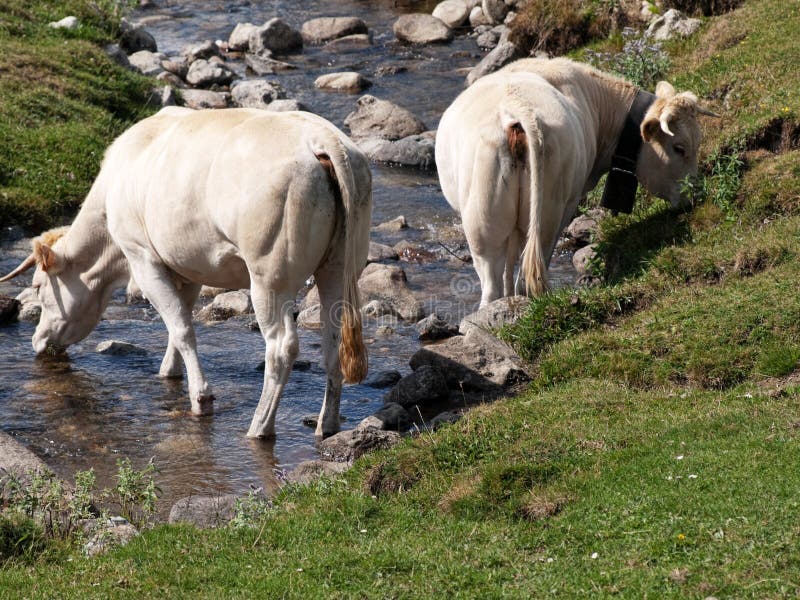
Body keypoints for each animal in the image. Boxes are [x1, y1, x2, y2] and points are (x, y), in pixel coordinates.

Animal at [0, 107, 372, 439]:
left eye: (38, 286)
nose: (37, 340)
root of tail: (322, 138)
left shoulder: (142, 257)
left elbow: (180, 327)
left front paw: (200, 396)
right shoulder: (187, 263)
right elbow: (181, 317)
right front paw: (169, 372)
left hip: (270, 277)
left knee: (281, 348)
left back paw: (259, 427)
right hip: (339, 266)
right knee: (332, 339)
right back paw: (328, 424)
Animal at [435, 57, 718, 306]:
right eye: (679, 148)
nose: (695, 195)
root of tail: (518, 109)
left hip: (499, 220)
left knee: (507, 279)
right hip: (524, 216)